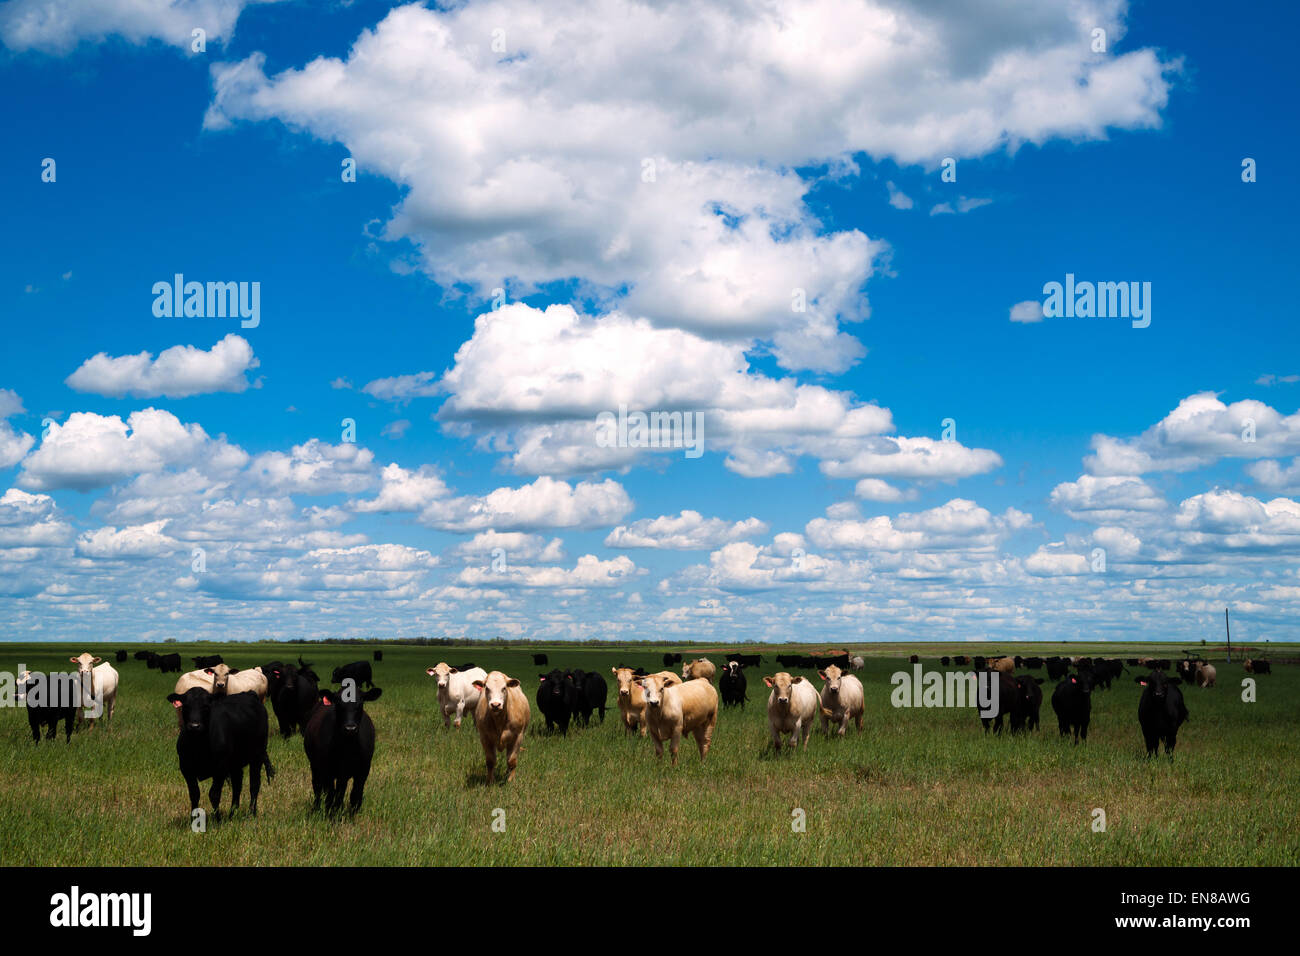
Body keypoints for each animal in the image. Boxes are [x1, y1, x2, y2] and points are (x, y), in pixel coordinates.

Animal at [167, 688, 274, 821]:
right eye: (185, 706)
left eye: (206, 706)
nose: (194, 726)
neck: (198, 746)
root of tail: (249, 693)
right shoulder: (186, 768)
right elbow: (194, 794)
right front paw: (194, 819)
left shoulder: (220, 768)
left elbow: (214, 794)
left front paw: (217, 819)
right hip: (235, 763)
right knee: (237, 785)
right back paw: (232, 814)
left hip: (257, 755)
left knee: (254, 785)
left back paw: (251, 813)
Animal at [304, 684, 381, 814]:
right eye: (338, 703)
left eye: (361, 703)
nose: (350, 728)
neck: (347, 749)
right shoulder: (328, 770)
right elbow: (330, 794)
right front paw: (331, 814)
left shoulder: (363, 770)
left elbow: (355, 794)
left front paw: (352, 815)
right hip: (315, 765)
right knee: (318, 786)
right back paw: (316, 808)